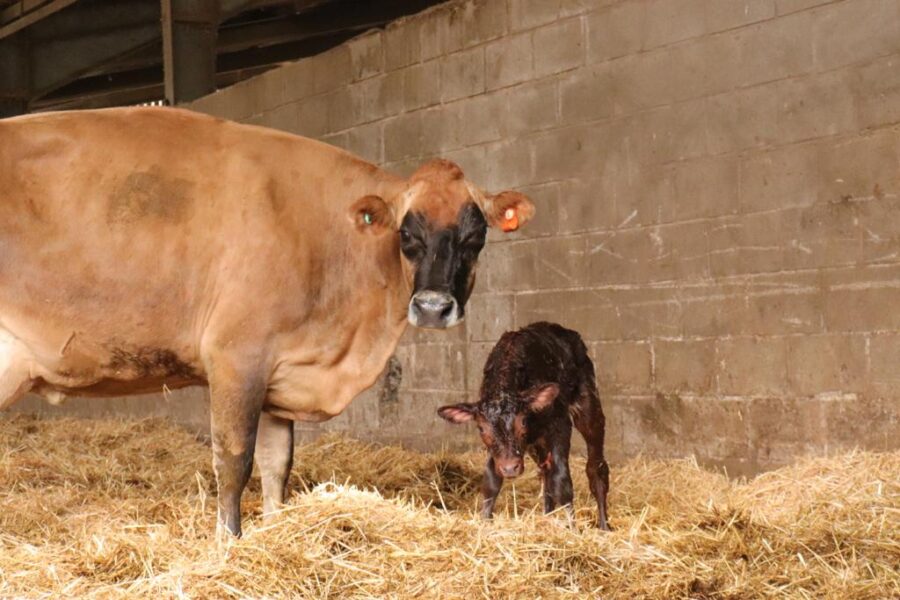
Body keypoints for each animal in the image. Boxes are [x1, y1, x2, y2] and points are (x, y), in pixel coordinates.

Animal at [0, 106, 535, 537]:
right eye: (407, 233)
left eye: (475, 236)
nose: (432, 306)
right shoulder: (237, 355)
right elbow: (234, 459)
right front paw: (228, 541)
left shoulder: (282, 369)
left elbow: (278, 463)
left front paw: (276, 527)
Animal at [438, 322, 610, 530]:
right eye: (482, 429)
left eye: (522, 422)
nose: (510, 468)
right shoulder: (499, 452)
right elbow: (491, 482)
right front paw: (484, 523)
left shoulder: (560, 425)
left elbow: (562, 482)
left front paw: (573, 529)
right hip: (535, 445)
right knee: (545, 473)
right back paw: (547, 516)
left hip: (588, 406)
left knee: (595, 467)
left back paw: (604, 526)